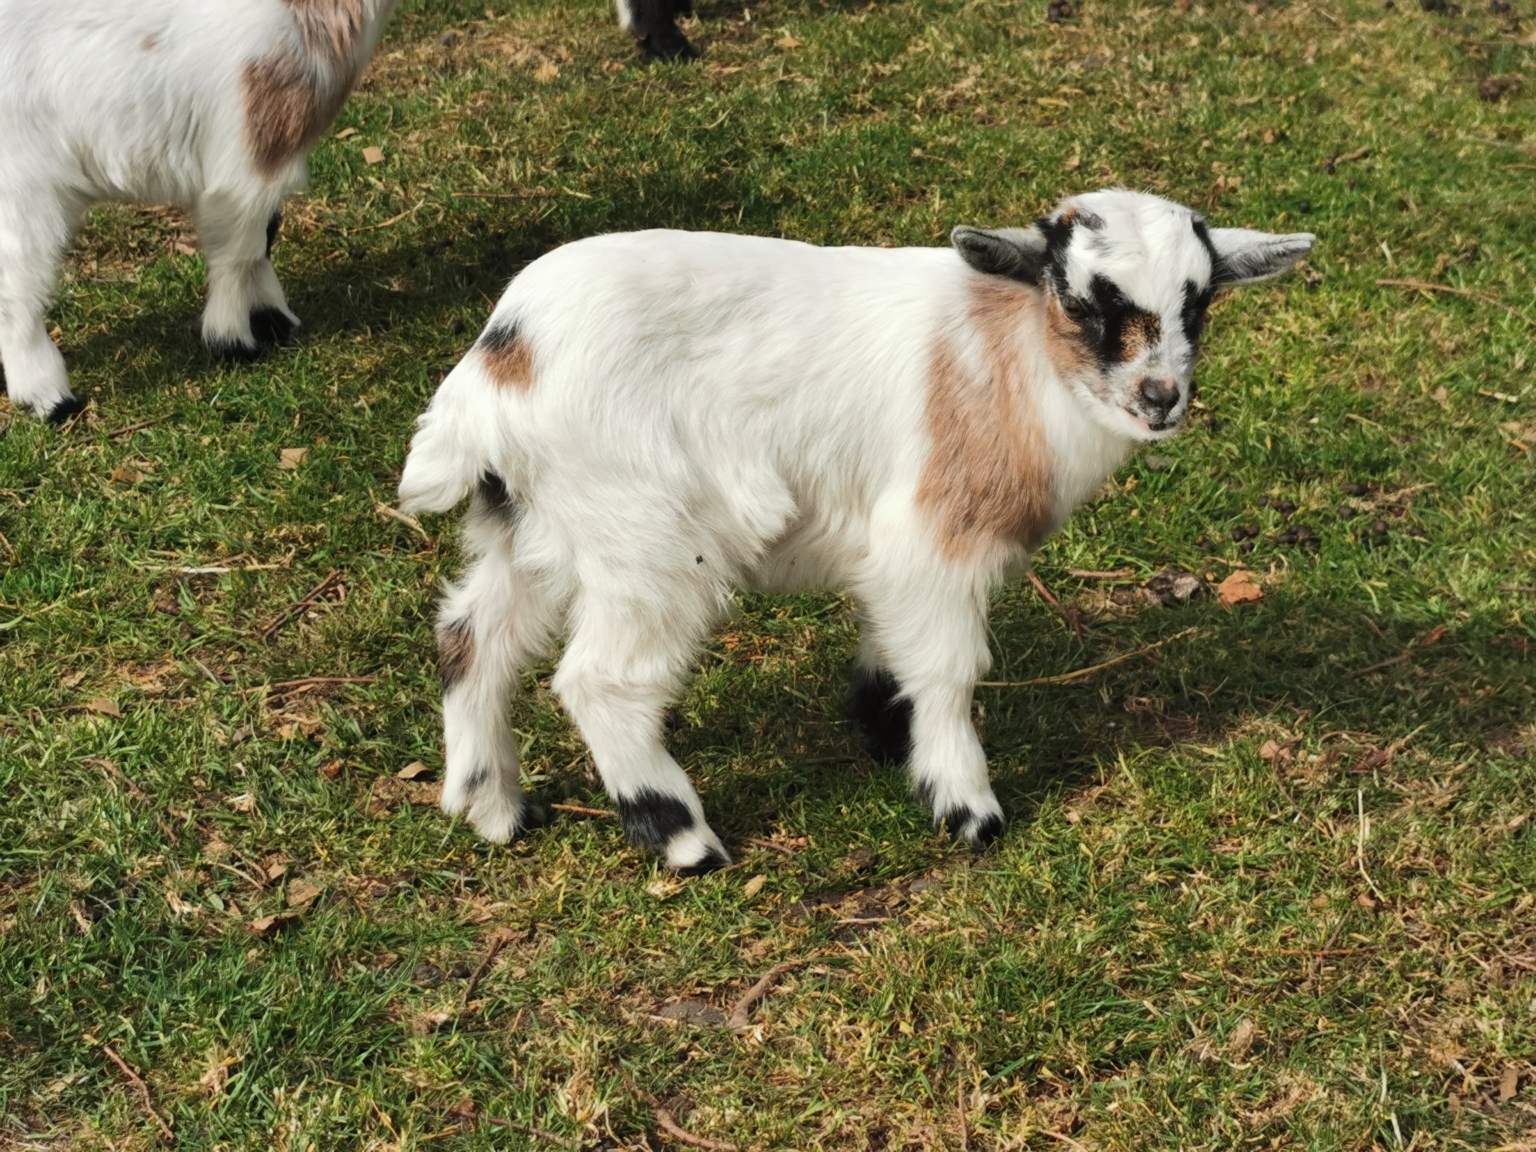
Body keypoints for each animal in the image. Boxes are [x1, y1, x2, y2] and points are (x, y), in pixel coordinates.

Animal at [0, 0, 402, 422]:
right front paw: (232, 341)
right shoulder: (247, 159)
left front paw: (271, 319)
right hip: (27, 187)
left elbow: (264, 237)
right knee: (19, 291)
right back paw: (50, 399)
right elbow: (237, 250)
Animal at [398, 188, 1314, 870]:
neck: (1011, 353)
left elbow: (893, 647)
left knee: (471, 634)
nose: (1161, 398)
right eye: (1082, 298)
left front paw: (886, 735)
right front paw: (966, 806)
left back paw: (493, 808)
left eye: (1200, 302)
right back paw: (683, 839)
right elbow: (947, 668)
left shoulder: (895, 549)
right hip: (645, 534)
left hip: (534, 522)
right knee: (602, 680)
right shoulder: (935, 536)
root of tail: (499, 363)